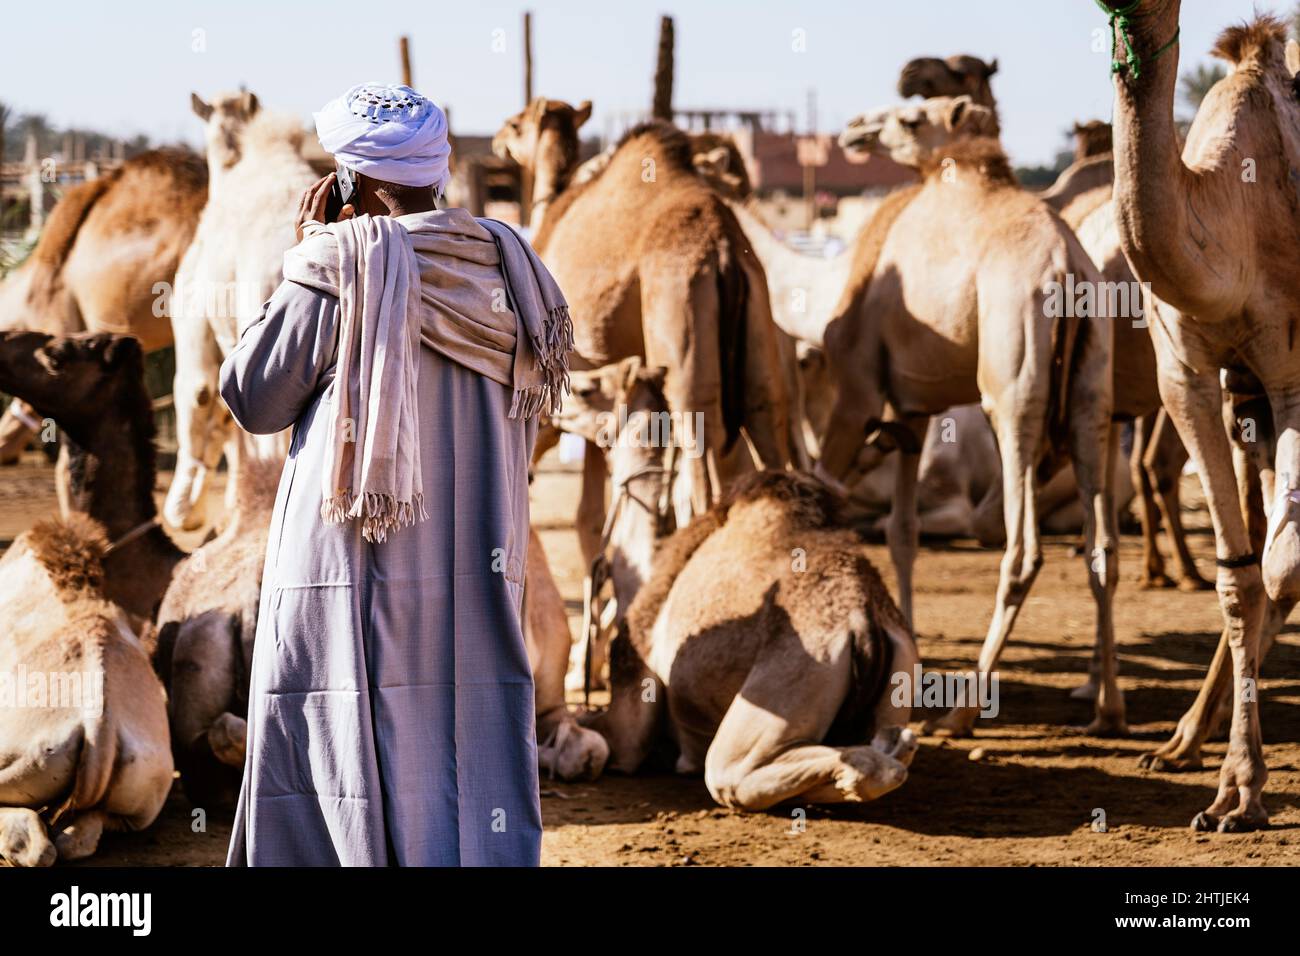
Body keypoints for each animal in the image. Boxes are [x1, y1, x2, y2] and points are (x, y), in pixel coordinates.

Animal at [560, 358, 918, 808]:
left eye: (588, 389)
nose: (557, 405)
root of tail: (864, 621)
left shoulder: (631, 714)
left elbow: (606, 736)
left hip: (782, 688)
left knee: (739, 773)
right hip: (899, 678)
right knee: (890, 744)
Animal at [819, 95, 1124, 738]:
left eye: (909, 118)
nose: (856, 128)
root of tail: (1067, 271)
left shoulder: (859, 389)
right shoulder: (913, 407)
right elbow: (901, 532)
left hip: (1011, 394)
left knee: (1023, 550)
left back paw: (961, 714)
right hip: (1093, 396)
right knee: (1101, 548)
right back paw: (1108, 709)